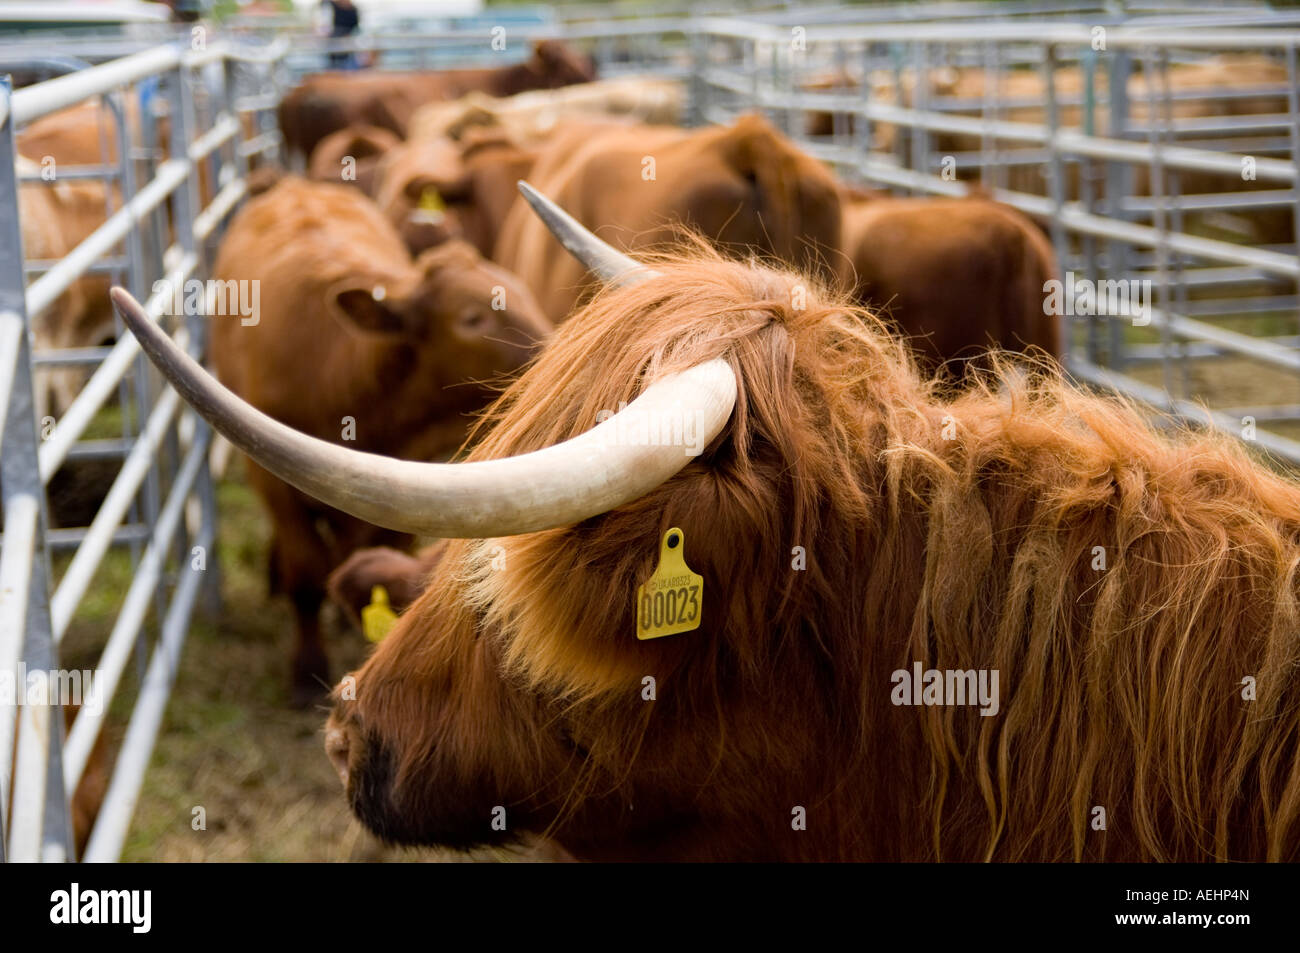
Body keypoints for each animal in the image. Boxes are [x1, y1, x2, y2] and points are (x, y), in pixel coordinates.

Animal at [206, 177, 550, 704]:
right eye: (473, 318)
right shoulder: (272, 480)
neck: (342, 372)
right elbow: (306, 572)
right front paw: (307, 669)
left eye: (526, 294)